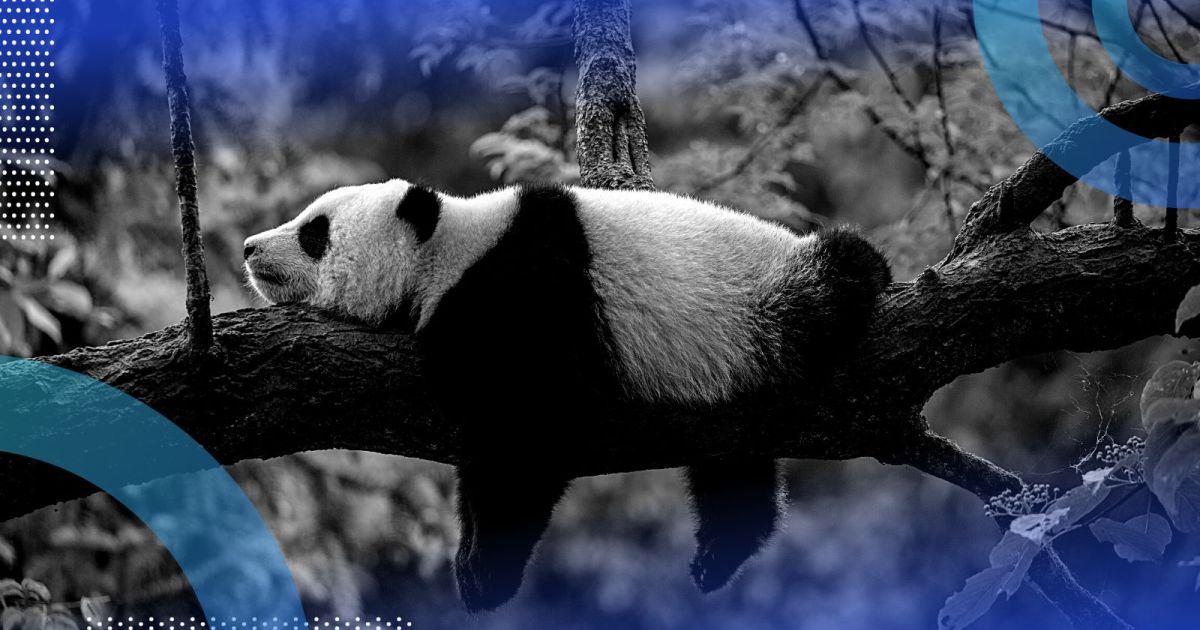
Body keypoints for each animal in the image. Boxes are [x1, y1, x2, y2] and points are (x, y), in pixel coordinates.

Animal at [243, 178, 891, 612]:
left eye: (315, 232)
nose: (249, 248)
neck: (448, 250)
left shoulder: (527, 293)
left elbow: (532, 430)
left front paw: (487, 571)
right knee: (732, 469)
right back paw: (721, 551)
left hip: (763, 299)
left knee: (835, 277)